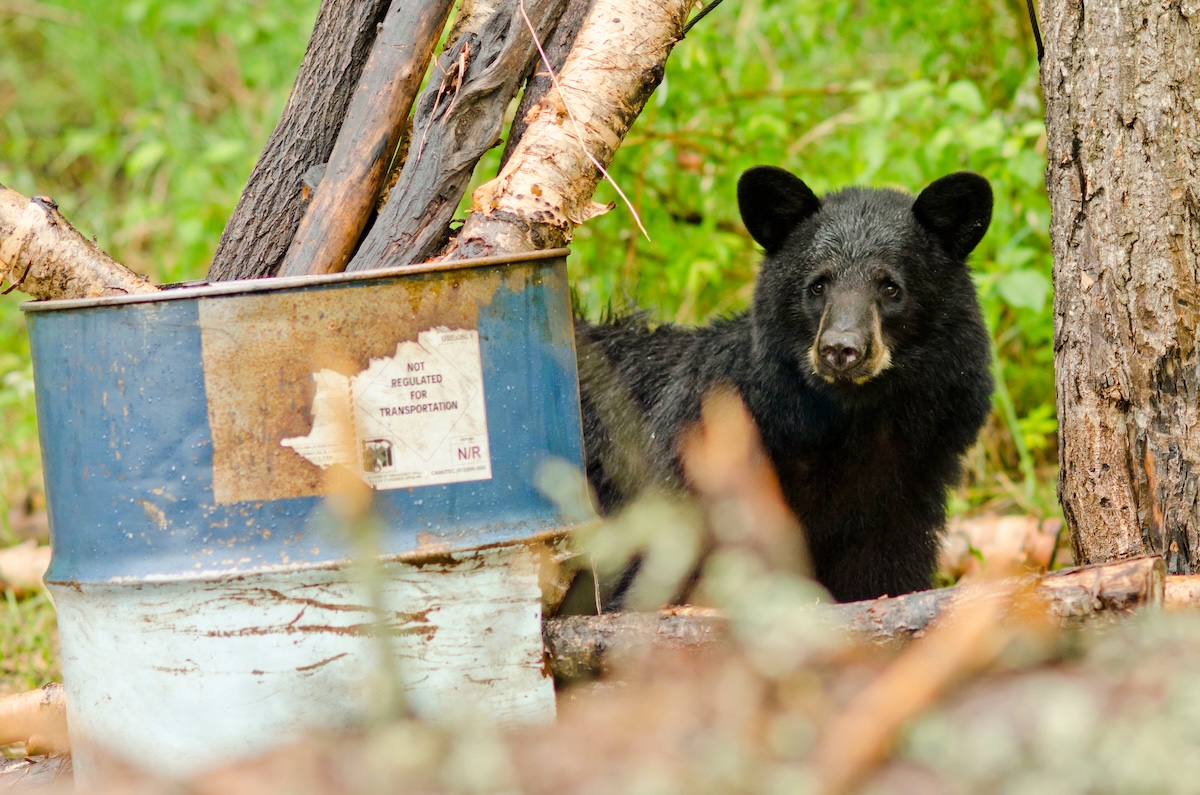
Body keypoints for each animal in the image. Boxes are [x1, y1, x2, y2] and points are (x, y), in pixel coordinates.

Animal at [574, 166, 994, 604]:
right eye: (818, 285)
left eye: (890, 287)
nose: (841, 349)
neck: (846, 424)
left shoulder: (903, 492)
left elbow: (884, 574)